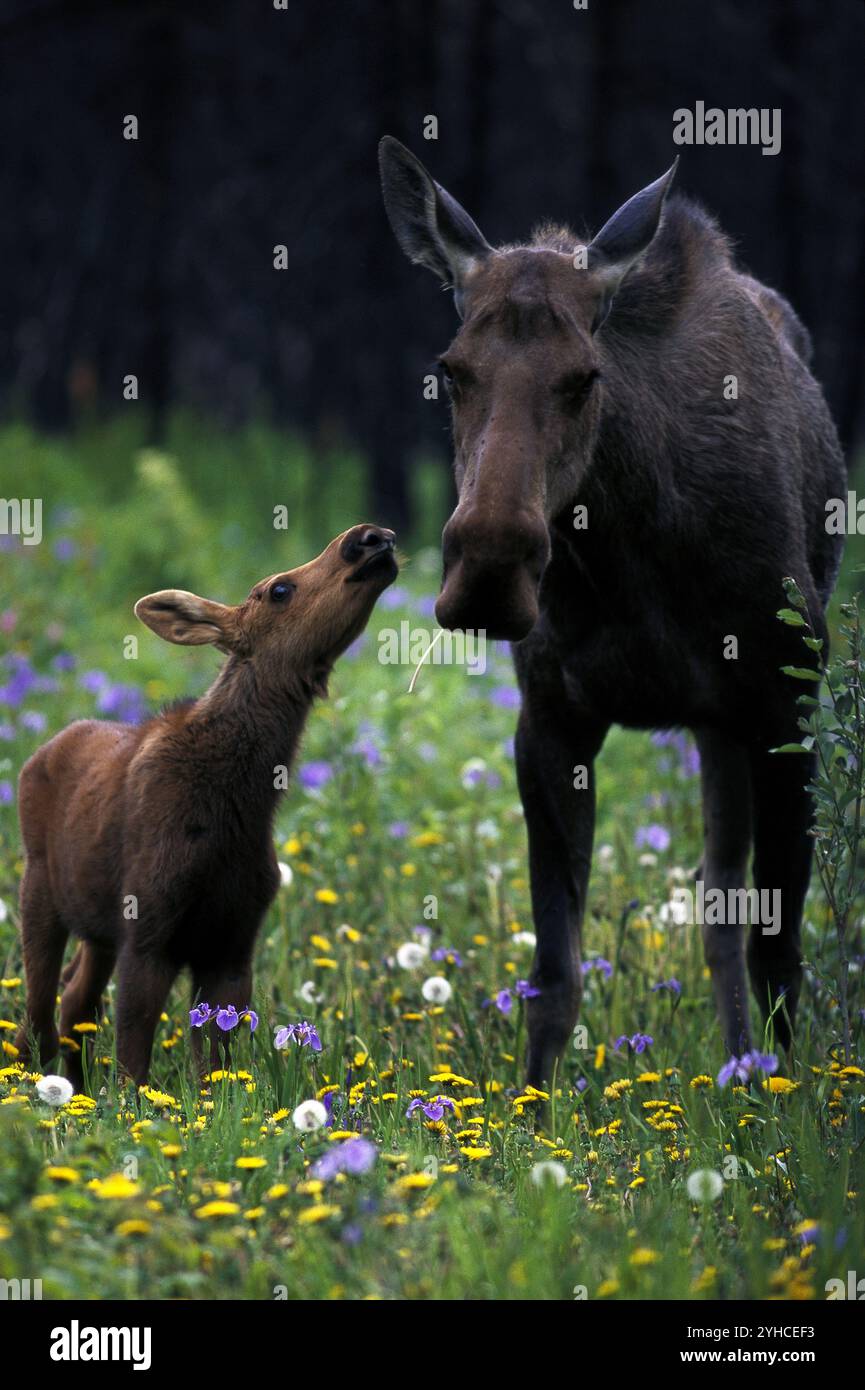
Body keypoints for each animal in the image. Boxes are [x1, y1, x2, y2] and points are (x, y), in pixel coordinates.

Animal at [14, 524, 397, 1090]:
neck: (238, 805)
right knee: (38, 1009)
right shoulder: (148, 934)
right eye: (279, 589)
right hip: (39, 887)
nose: (370, 537)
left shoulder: (234, 944)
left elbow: (216, 1067)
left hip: (97, 928)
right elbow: (133, 1063)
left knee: (73, 1003)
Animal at [379, 135, 846, 1087]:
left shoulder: (786, 705)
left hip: (732, 723)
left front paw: (789, 1108)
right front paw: (533, 1113)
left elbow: (780, 955)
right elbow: (552, 978)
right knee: (715, 894)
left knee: (727, 903)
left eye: (584, 377)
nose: (488, 572)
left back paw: (746, 1076)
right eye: (449, 369)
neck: (633, 546)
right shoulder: (551, 720)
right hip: (711, 728)